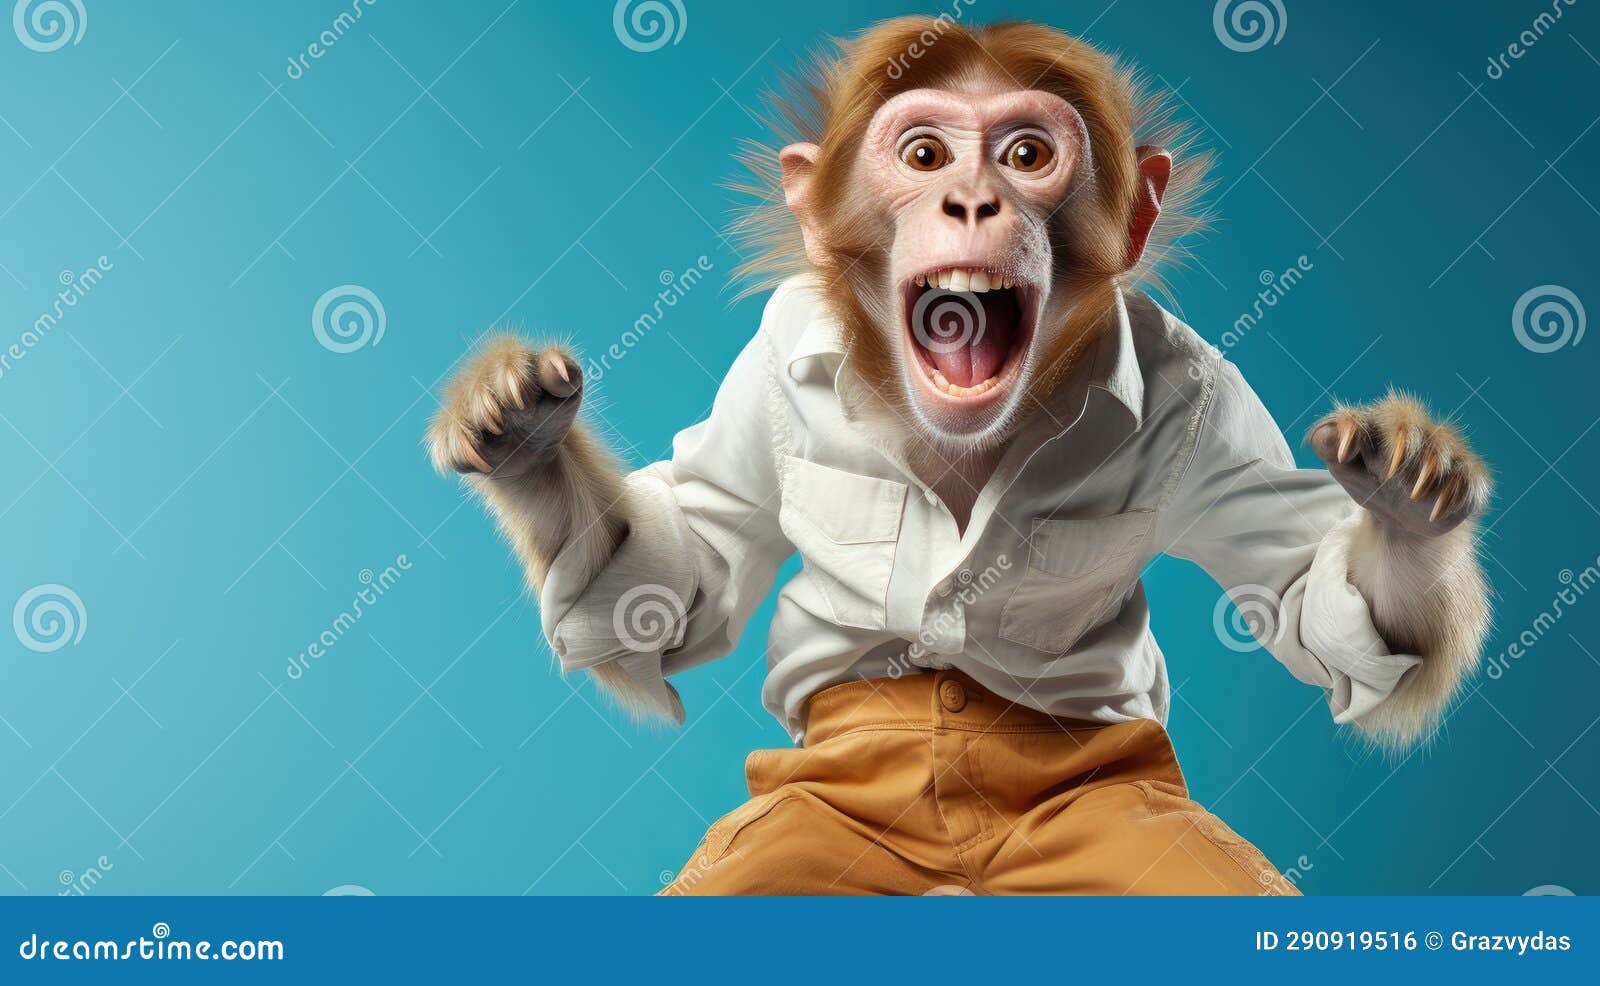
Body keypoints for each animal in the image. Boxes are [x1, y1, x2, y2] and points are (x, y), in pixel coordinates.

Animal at [426, 18, 1491, 893]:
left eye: (1028, 154)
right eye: (926, 153)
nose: (974, 200)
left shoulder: (1204, 395)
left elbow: (1309, 604)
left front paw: (1406, 500)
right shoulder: (769, 359)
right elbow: (676, 585)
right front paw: (522, 435)